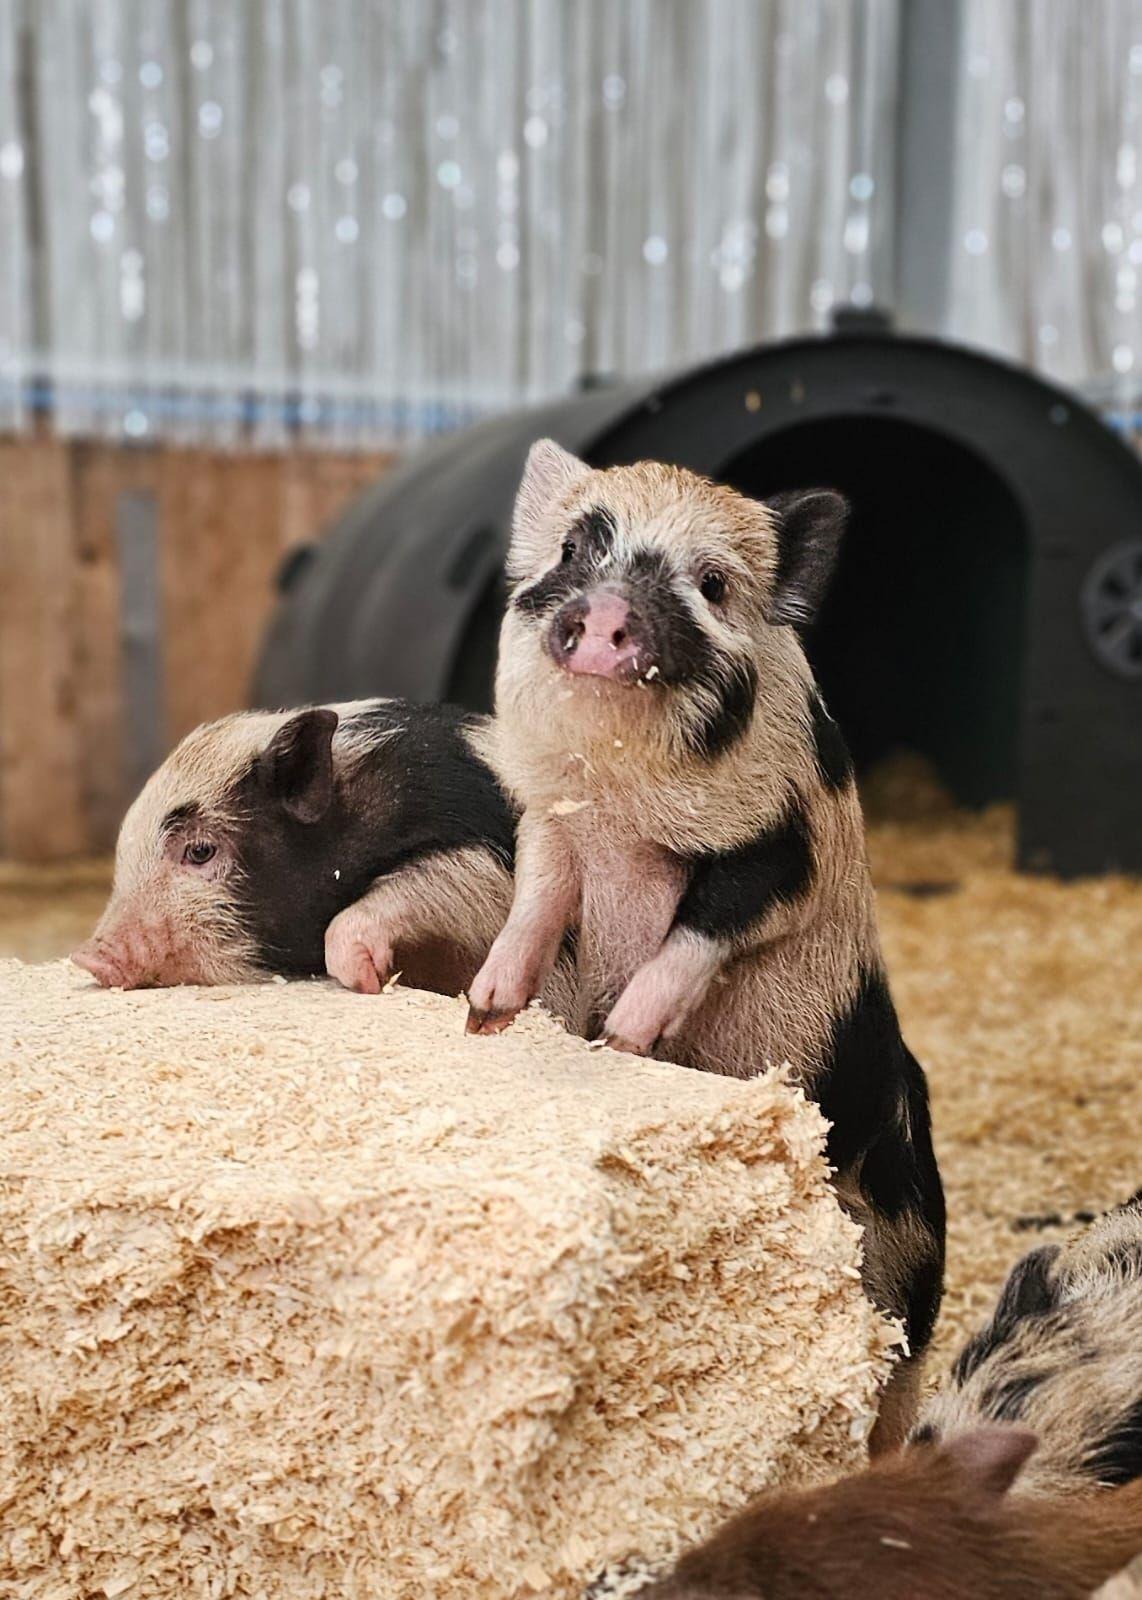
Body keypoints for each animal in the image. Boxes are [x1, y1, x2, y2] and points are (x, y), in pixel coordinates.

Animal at [464, 442, 945, 1448]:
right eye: (575, 549)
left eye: (713, 585)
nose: (609, 614)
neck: (620, 795)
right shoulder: (552, 819)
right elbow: (537, 900)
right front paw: (485, 1013)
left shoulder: (782, 849)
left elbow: (698, 931)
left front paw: (622, 1040)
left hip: (903, 1261)